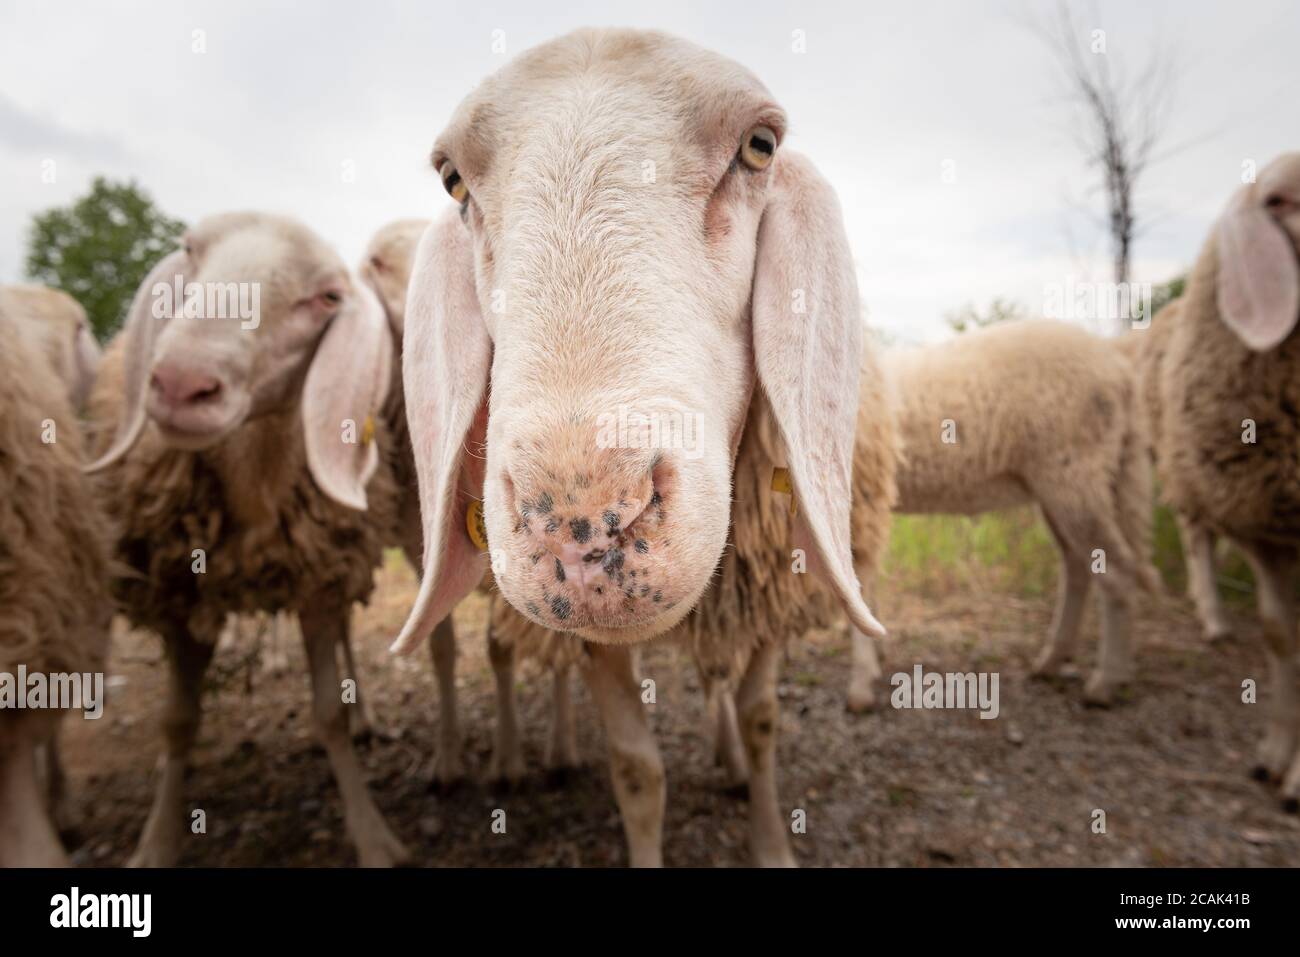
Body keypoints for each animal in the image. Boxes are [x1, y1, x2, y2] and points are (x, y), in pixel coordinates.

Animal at [85, 212, 409, 866]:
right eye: (189, 252)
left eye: (327, 297)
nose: (181, 383)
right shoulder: (182, 597)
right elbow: (178, 722)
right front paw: (158, 840)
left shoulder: (317, 582)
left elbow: (328, 716)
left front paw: (371, 834)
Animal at [389, 28, 892, 867]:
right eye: (454, 179)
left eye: (760, 146)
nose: (579, 526)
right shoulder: (598, 640)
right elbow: (635, 767)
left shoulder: (773, 582)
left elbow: (762, 719)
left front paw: (768, 837)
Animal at [845, 320, 1161, 710]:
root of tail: (1120, 369)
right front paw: (876, 655)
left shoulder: (860, 495)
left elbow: (859, 579)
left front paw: (860, 684)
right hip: (1064, 481)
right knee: (1079, 566)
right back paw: (1052, 661)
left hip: (1075, 474)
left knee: (1116, 572)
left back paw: (1105, 683)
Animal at [1131, 152, 1300, 805]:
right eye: (1277, 200)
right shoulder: (1268, 529)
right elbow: (1281, 636)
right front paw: (1279, 761)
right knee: (1196, 534)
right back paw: (1212, 614)